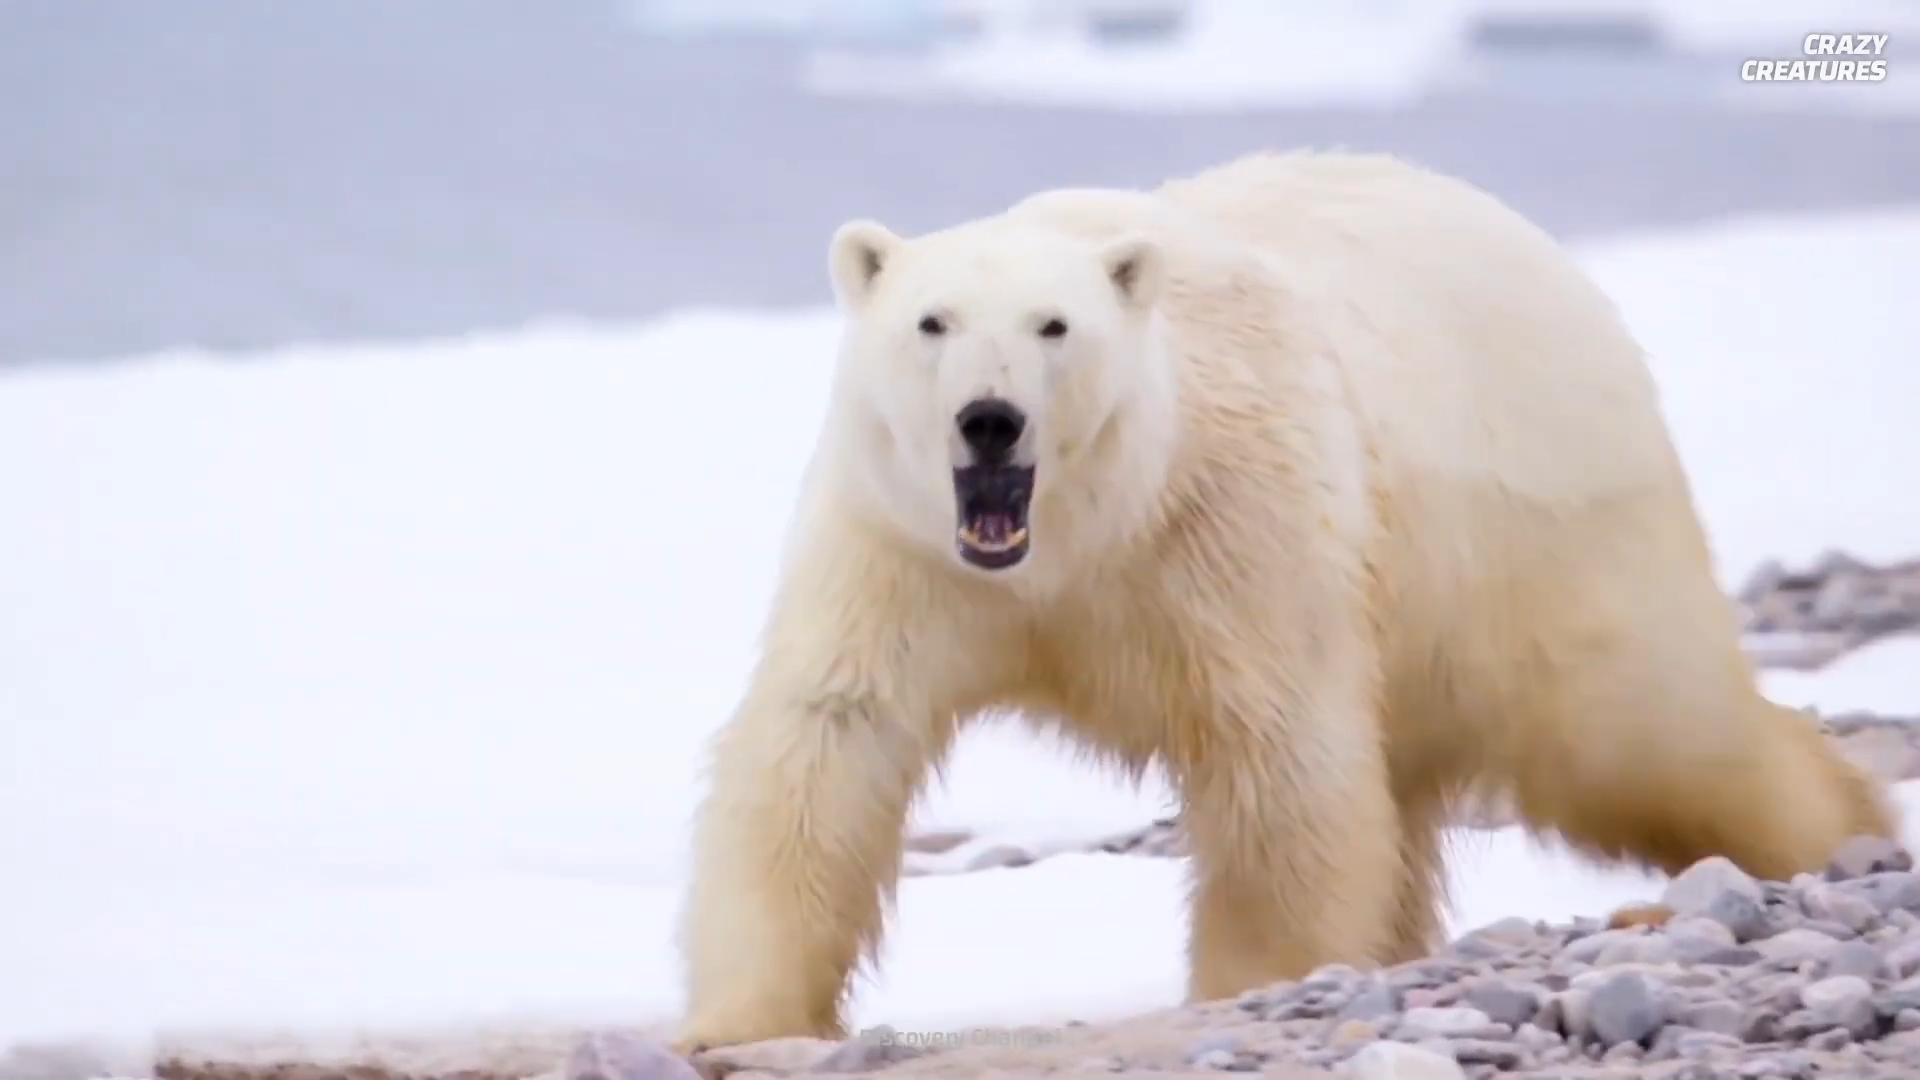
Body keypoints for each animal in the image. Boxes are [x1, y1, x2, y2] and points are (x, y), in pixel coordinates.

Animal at [671, 150, 1898, 1051]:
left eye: (1053, 326)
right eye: (931, 322)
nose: (990, 420)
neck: (1076, 536)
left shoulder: (1227, 529)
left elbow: (1276, 757)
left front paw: (1254, 981)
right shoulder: (898, 549)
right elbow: (829, 735)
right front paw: (738, 1018)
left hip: (1542, 535)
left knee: (1640, 732)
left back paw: (1842, 829)